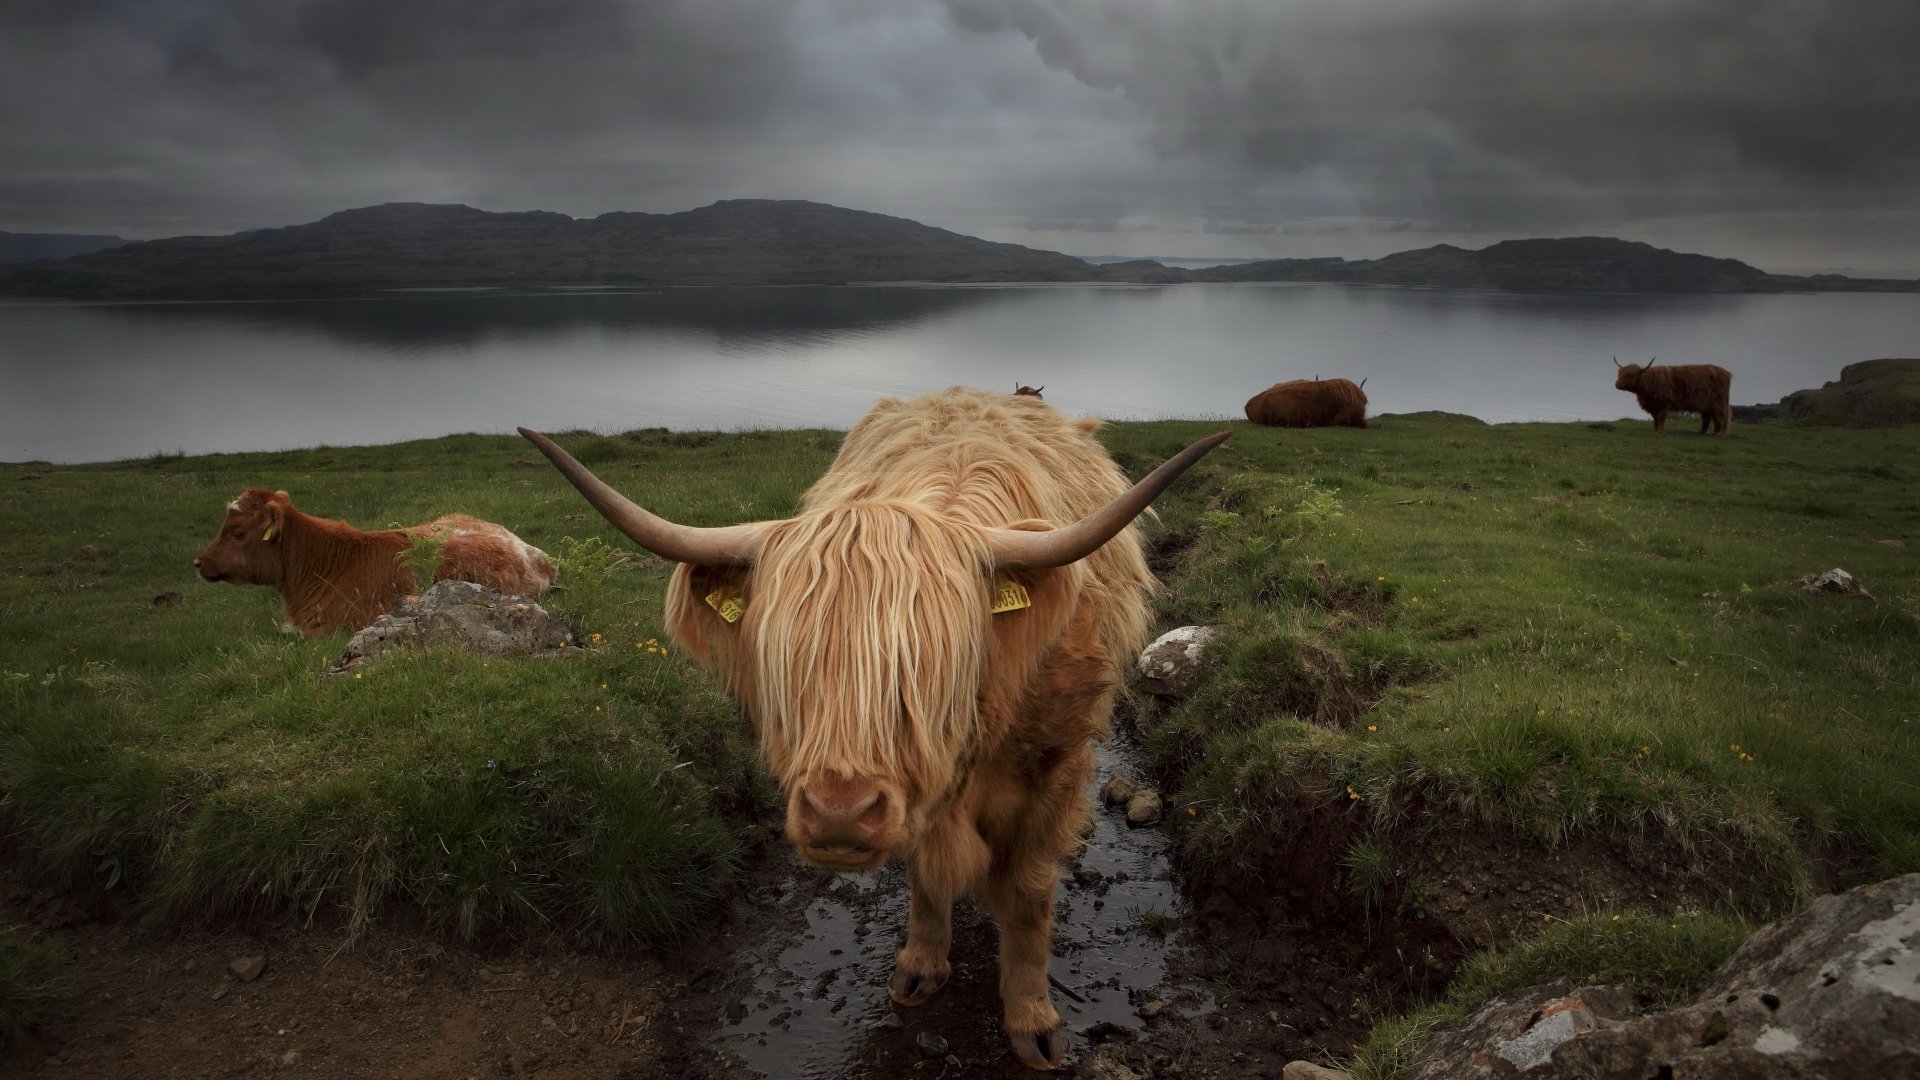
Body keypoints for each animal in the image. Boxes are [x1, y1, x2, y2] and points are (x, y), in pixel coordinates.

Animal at [520, 387, 1226, 1070]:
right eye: (787, 667)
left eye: (929, 673)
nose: (839, 813)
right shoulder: (918, 799)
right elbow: (923, 876)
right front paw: (920, 966)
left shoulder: (1056, 769)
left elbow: (1028, 895)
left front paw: (1034, 1022)